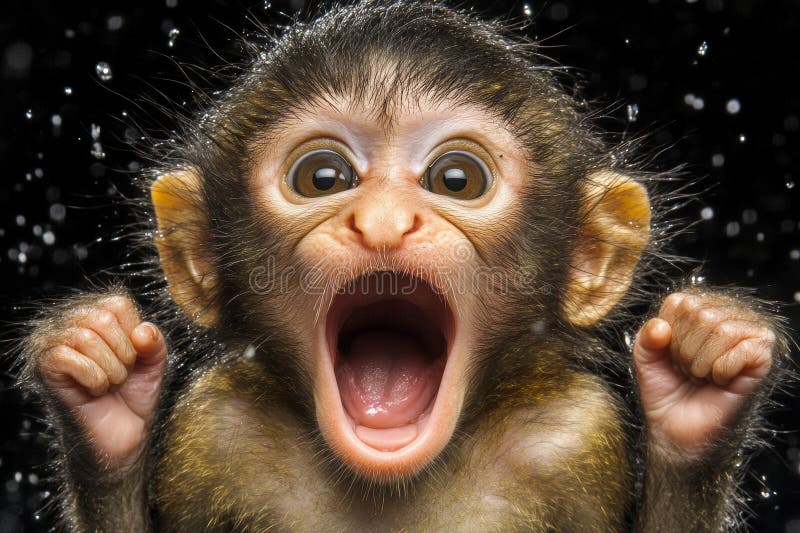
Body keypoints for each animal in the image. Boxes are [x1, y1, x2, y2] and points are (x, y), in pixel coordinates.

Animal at [16, 1, 790, 531]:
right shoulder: (216, 435)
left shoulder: (571, 439)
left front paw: (699, 392)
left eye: (457, 179)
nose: (382, 223)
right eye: (323, 177)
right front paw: (101, 397)